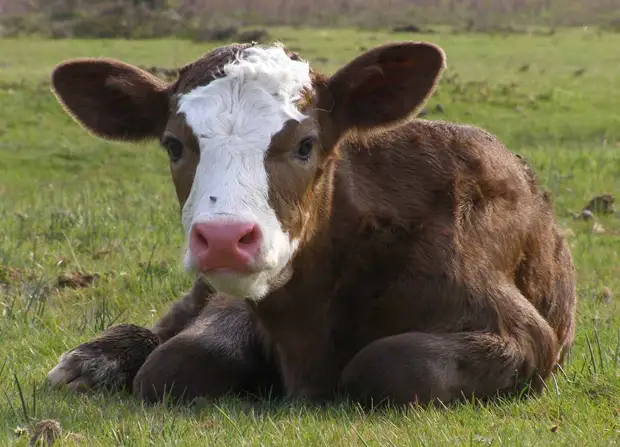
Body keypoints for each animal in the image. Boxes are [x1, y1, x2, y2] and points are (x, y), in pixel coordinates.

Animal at [47, 41, 576, 406]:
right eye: (174, 145)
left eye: (305, 144)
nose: (223, 239)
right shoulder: (237, 298)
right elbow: (176, 361)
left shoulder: (521, 334)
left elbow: (390, 364)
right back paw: (90, 361)